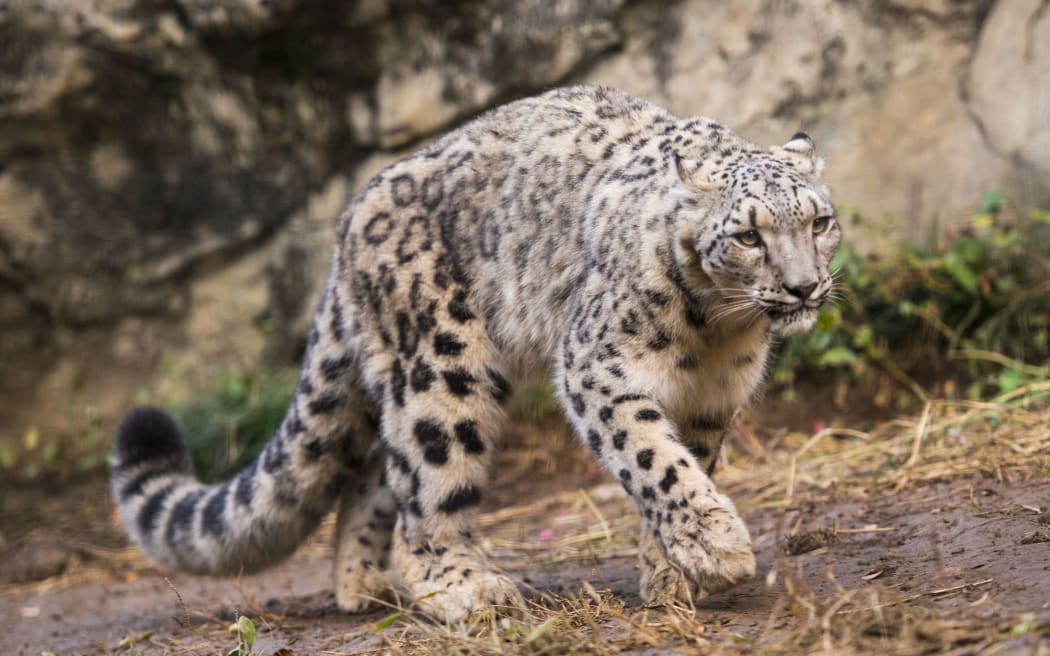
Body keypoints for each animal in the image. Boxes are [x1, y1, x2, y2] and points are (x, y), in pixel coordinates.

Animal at [111, 85, 840, 622]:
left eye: (820, 222)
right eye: (748, 235)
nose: (804, 285)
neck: (716, 331)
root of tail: (349, 223)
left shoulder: (712, 398)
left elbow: (691, 464)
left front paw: (673, 574)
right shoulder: (598, 367)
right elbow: (653, 460)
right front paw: (718, 550)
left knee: (376, 476)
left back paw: (364, 584)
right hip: (443, 369)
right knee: (426, 490)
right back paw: (464, 589)